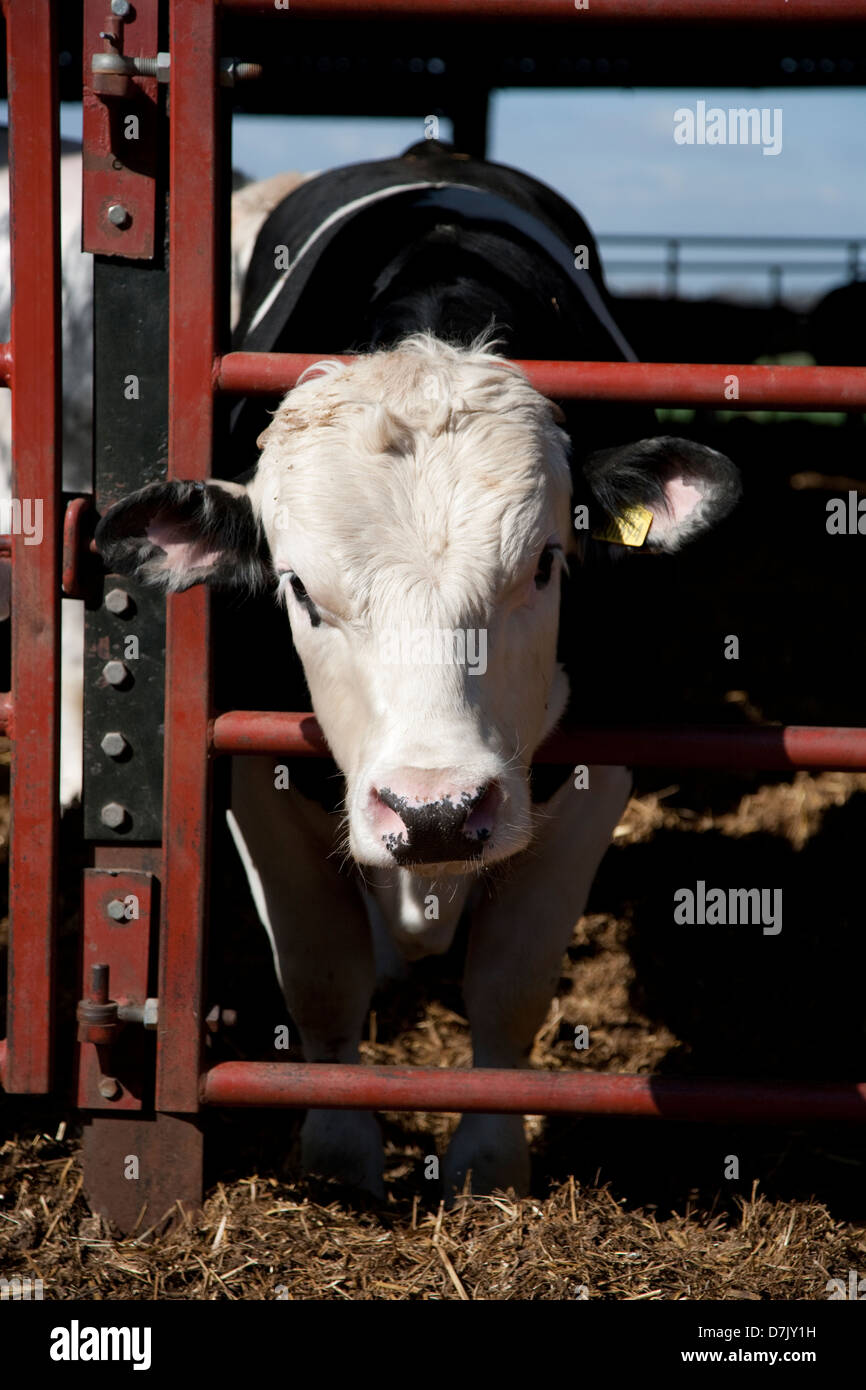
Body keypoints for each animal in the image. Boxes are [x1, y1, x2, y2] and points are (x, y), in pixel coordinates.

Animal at [95, 141, 740, 1199]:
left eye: (546, 565)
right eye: (299, 589)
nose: (437, 811)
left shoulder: (599, 770)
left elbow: (510, 983)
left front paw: (488, 1157)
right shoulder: (252, 767)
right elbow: (321, 972)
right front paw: (338, 1149)